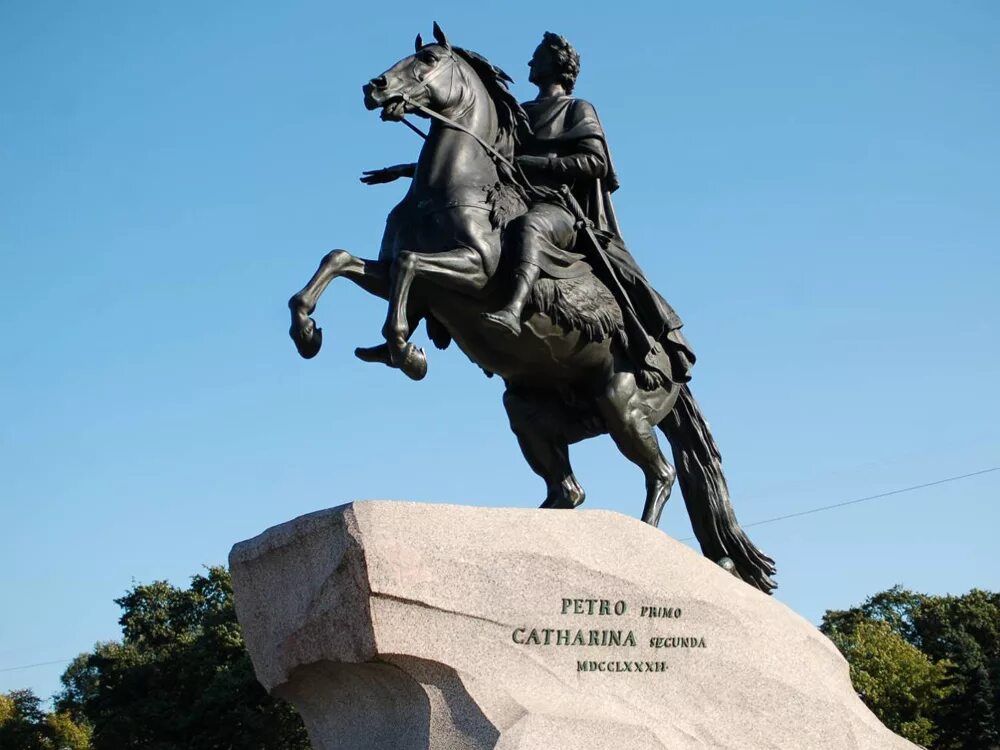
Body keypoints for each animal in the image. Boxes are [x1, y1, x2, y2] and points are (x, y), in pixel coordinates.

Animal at [286, 25, 776, 592]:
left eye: (428, 60)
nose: (374, 87)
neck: (450, 189)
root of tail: (677, 372)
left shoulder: (473, 272)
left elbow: (411, 267)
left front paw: (407, 351)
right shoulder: (387, 275)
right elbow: (339, 259)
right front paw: (309, 333)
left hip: (623, 404)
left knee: (662, 474)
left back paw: (646, 541)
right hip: (528, 410)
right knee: (570, 491)